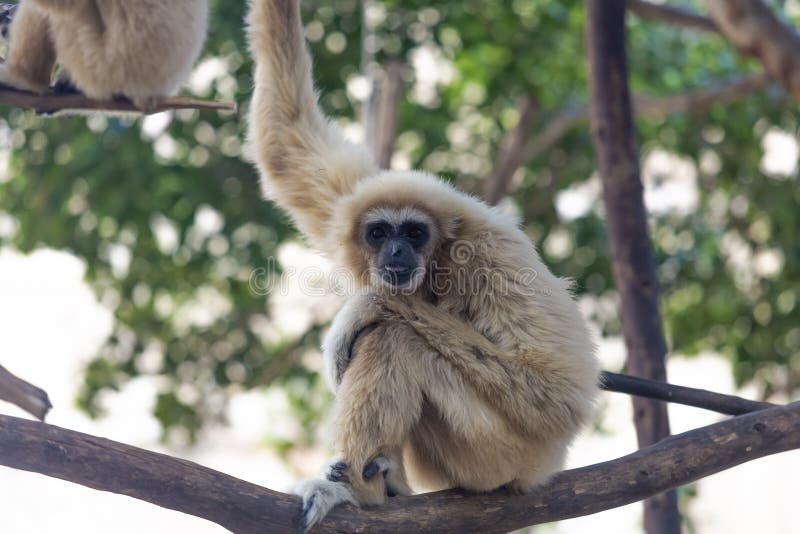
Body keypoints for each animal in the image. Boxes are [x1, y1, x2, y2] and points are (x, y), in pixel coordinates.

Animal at [246, 0, 600, 530]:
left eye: (413, 232)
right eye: (378, 233)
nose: (395, 252)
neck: (439, 264)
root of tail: (541, 470)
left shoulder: (496, 256)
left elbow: (560, 392)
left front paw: (365, 306)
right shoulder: (349, 205)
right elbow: (289, 144)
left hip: (499, 451)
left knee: (396, 338)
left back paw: (355, 491)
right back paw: (386, 480)